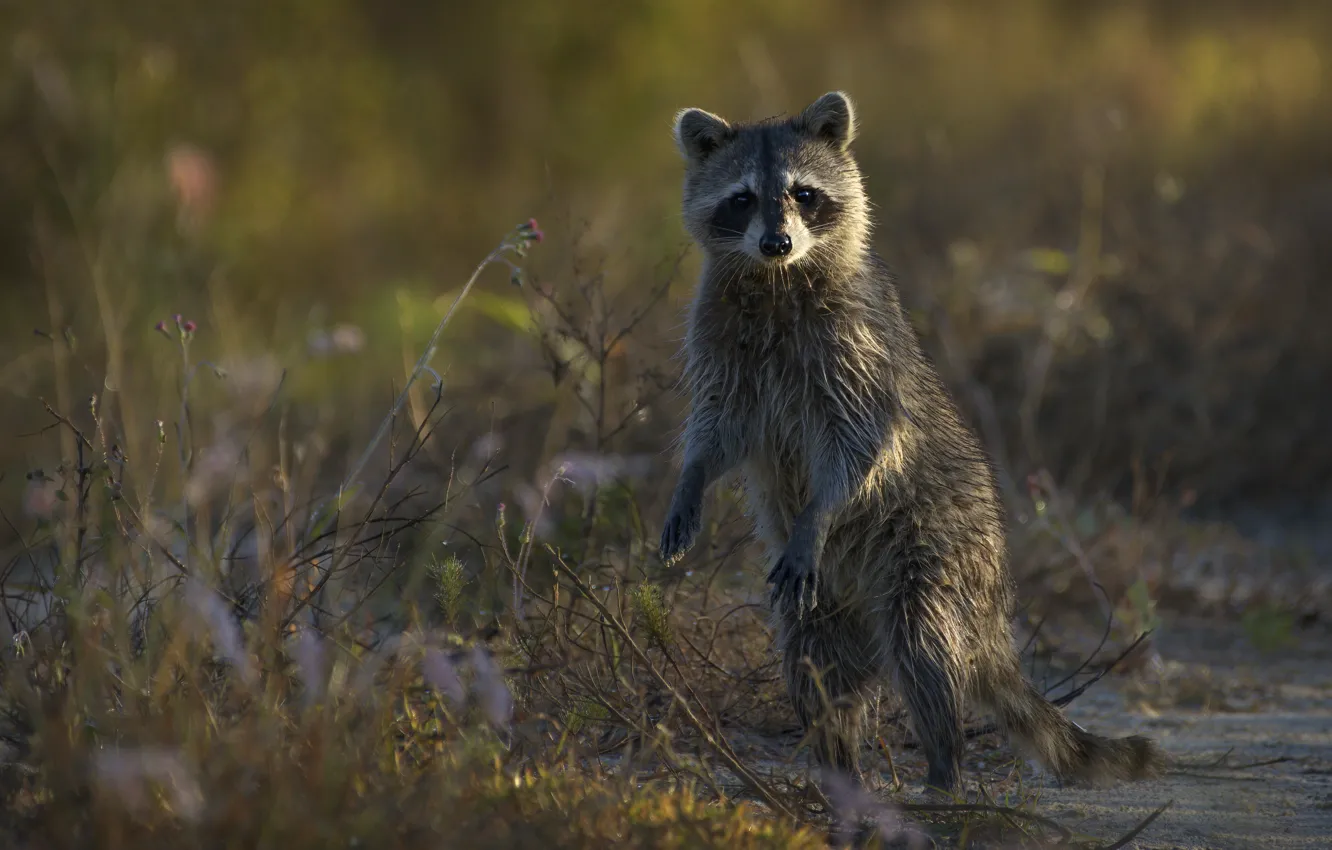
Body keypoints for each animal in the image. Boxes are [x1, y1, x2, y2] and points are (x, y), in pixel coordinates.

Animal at [658, 91, 1165, 798]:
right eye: (741, 198)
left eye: (804, 194)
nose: (776, 241)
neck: (778, 280)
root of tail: (992, 612)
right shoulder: (721, 337)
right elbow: (719, 428)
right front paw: (691, 478)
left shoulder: (857, 348)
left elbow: (860, 441)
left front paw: (818, 512)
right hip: (825, 610)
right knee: (817, 670)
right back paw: (838, 769)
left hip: (934, 551)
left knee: (922, 647)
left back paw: (943, 771)